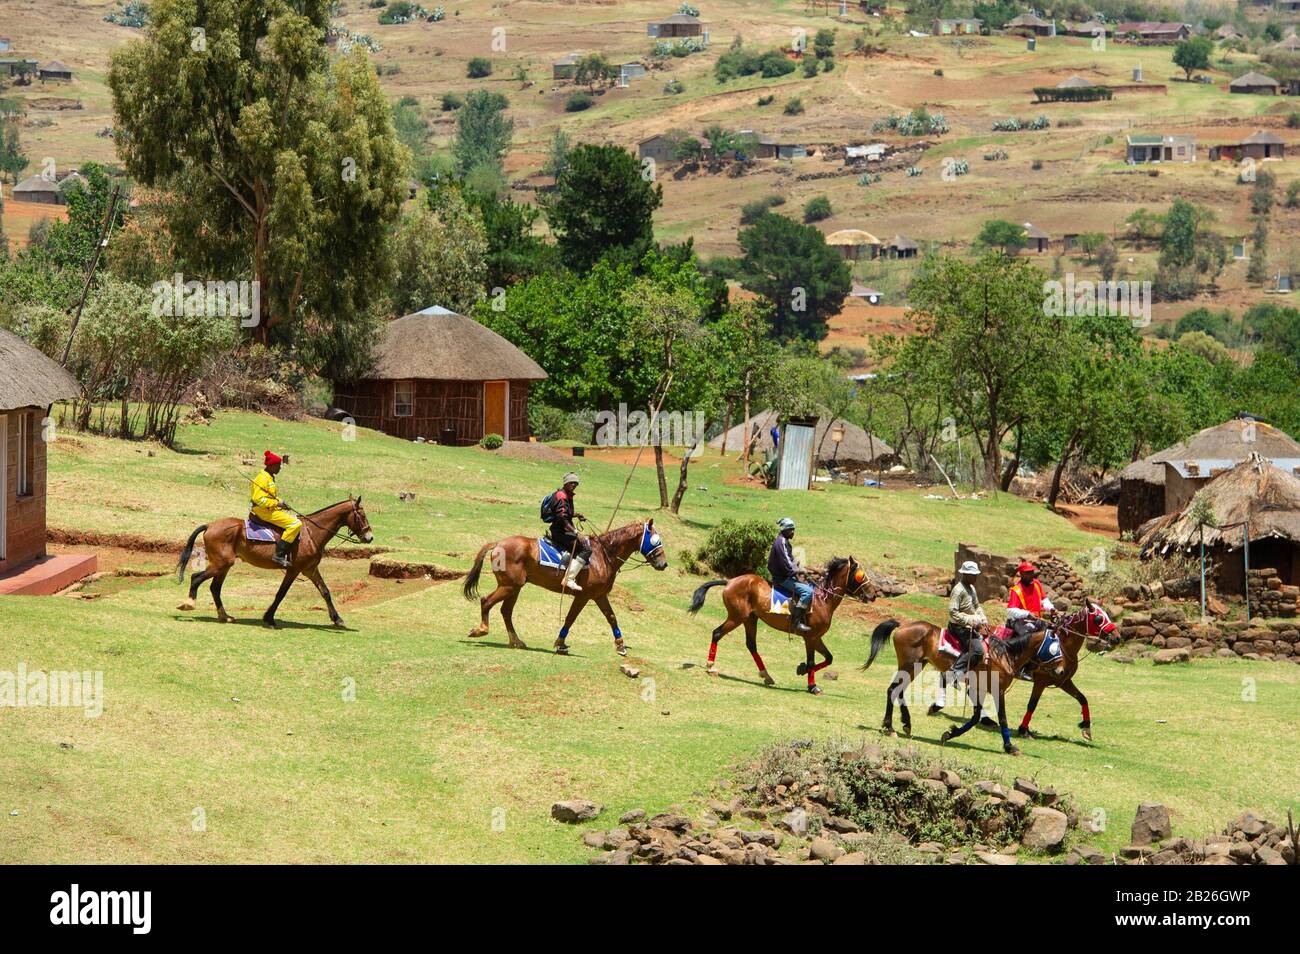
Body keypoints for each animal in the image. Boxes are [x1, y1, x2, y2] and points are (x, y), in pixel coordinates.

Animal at [176, 497, 374, 628]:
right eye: (362, 515)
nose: (369, 537)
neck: (311, 533)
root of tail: (210, 525)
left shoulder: (310, 569)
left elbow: (325, 592)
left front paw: (337, 619)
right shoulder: (294, 570)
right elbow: (281, 594)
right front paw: (269, 618)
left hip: (224, 566)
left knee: (215, 588)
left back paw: (225, 616)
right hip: (220, 564)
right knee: (196, 578)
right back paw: (189, 603)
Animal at [462, 520, 667, 655]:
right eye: (656, 540)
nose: (664, 564)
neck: (603, 555)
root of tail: (498, 543)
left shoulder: (599, 595)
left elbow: (611, 617)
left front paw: (621, 645)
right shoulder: (584, 596)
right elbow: (570, 618)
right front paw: (560, 643)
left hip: (515, 587)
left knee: (506, 611)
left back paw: (516, 641)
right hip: (509, 586)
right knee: (486, 601)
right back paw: (481, 630)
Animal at [687, 556, 869, 695]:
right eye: (861, 575)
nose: (872, 594)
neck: (822, 599)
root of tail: (730, 581)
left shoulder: (816, 637)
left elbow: (829, 658)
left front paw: (802, 670)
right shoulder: (810, 637)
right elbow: (812, 662)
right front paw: (812, 685)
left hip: (750, 620)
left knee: (751, 645)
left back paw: (766, 675)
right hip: (736, 618)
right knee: (717, 633)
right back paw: (710, 666)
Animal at [1016, 598, 1119, 741]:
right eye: (1098, 619)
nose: (1117, 637)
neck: (1063, 647)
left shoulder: (1063, 681)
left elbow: (1082, 699)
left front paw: (1086, 727)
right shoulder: (1041, 681)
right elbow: (1032, 704)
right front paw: (1023, 730)